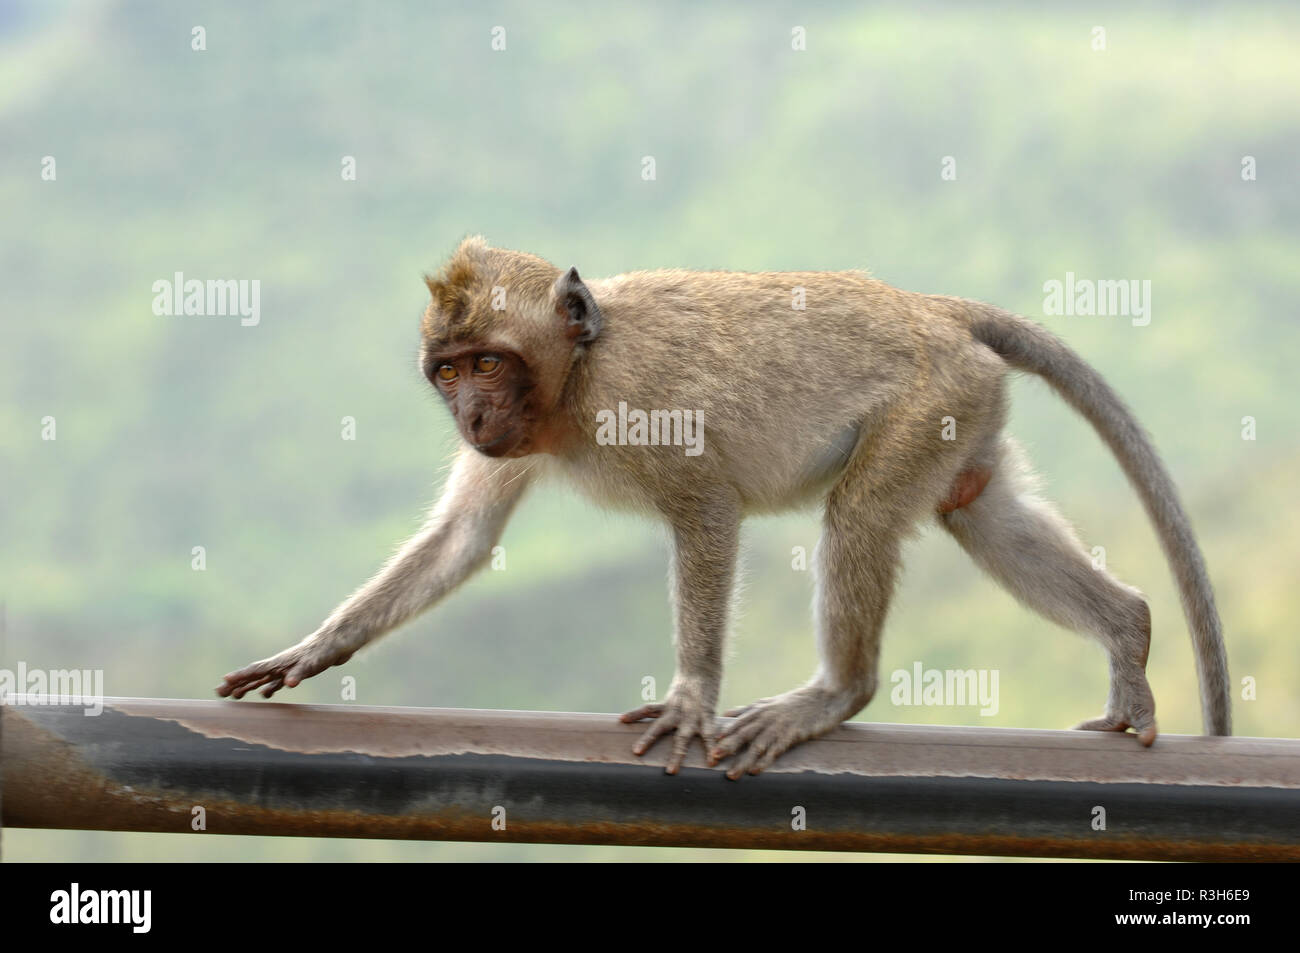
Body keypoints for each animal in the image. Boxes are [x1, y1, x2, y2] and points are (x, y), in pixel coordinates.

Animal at [217, 236, 1231, 779]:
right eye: (451, 370)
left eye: (491, 361)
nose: (469, 413)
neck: (580, 374)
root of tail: (933, 308)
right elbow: (463, 539)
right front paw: (315, 648)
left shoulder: (638, 402)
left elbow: (706, 514)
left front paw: (691, 699)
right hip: (965, 410)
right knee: (981, 513)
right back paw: (1129, 630)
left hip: (926, 398)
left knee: (862, 516)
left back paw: (836, 692)